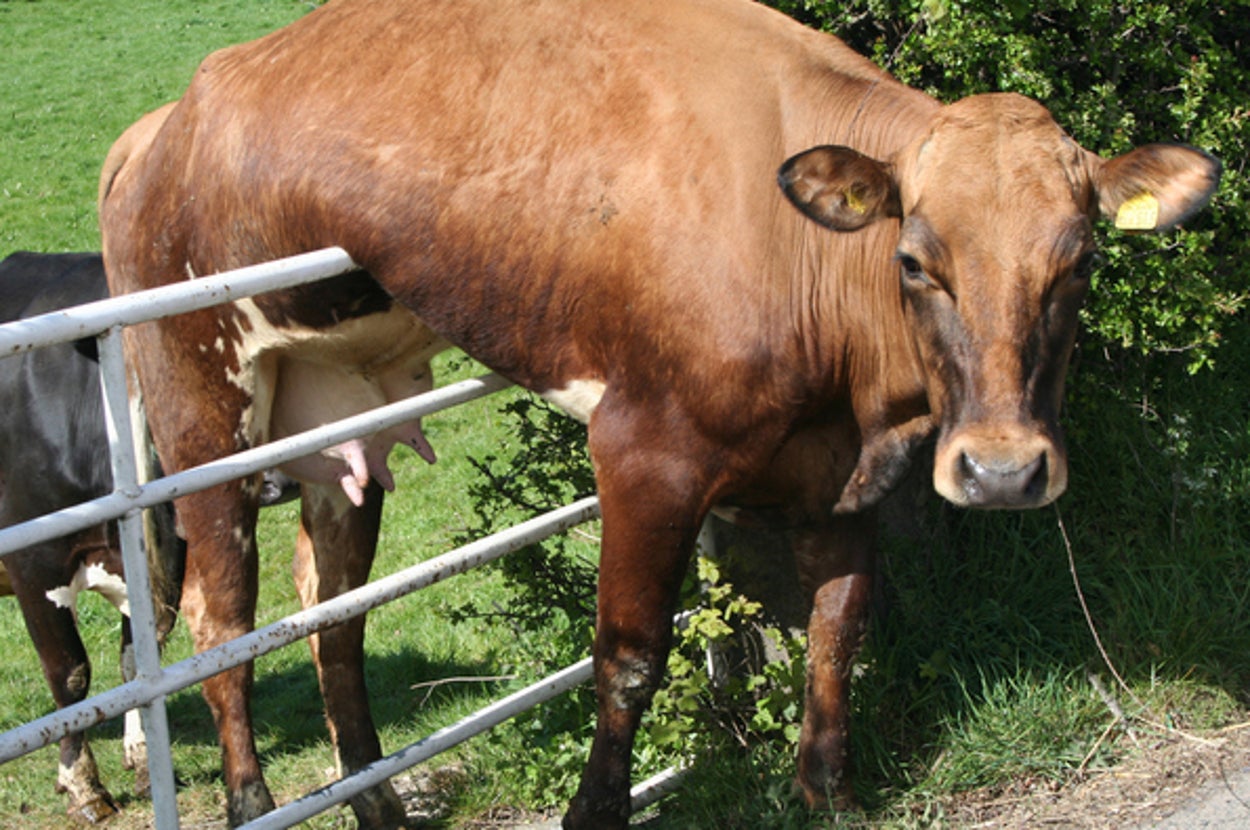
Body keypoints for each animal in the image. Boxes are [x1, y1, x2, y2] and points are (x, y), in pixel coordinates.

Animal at [98, 0, 1221, 827]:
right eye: (914, 260)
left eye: (1079, 262)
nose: (1000, 470)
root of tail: (160, 124)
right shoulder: (646, 454)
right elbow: (630, 657)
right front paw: (595, 810)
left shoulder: (843, 468)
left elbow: (836, 622)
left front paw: (826, 792)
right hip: (200, 404)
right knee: (220, 616)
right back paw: (250, 797)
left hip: (340, 417)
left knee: (333, 611)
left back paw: (377, 805)